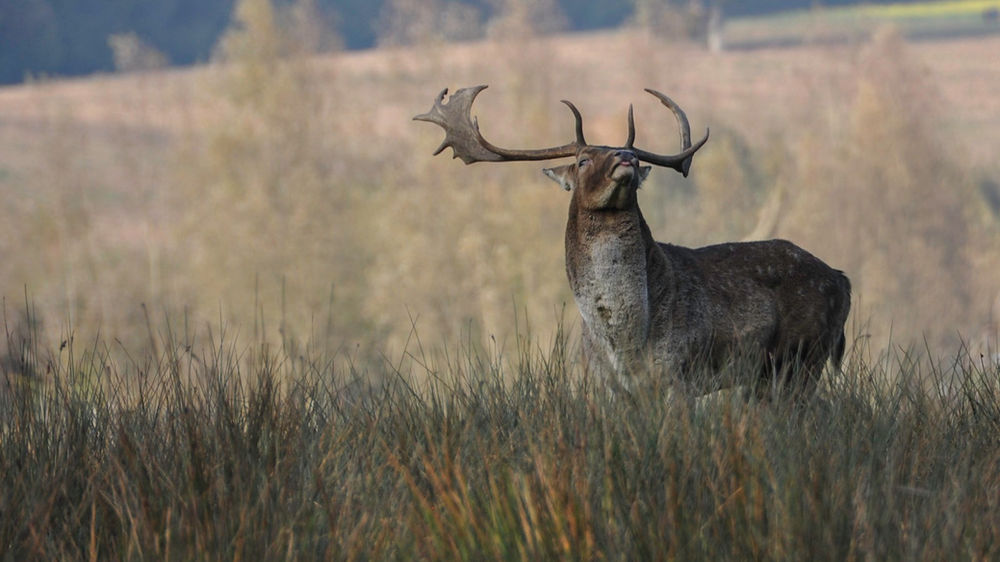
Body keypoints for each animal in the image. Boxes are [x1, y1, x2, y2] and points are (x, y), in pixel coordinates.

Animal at [414, 85, 851, 397]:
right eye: (583, 160)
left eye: (632, 155)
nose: (627, 156)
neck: (623, 342)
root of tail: (842, 279)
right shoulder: (606, 385)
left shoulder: (677, 373)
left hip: (801, 356)